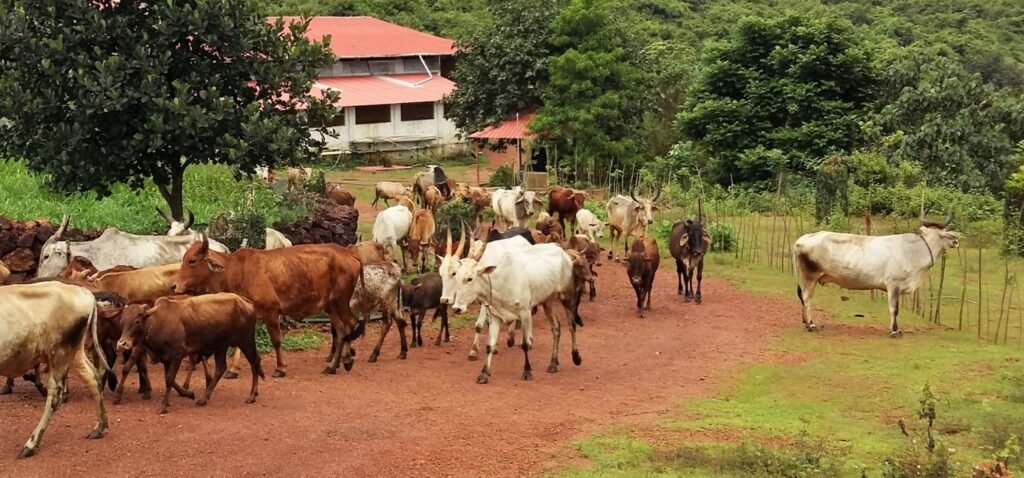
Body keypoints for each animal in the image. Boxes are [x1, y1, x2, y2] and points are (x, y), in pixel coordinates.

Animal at [0, 281, 110, 458]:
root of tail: (83, 291)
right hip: (75, 352)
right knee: (93, 377)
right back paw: (99, 427)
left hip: (60, 353)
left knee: (54, 397)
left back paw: (31, 444)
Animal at [116, 293, 264, 414]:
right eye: (122, 322)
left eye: (137, 321)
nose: (122, 344)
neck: (159, 323)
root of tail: (246, 301)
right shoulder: (166, 358)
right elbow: (170, 380)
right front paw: (187, 393)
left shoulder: (177, 355)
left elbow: (169, 379)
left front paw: (164, 406)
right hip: (221, 347)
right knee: (220, 369)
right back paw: (204, 398)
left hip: (246, 341)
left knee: (255, 362)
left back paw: (252, 396)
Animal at [172, 235, 365, 376]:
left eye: (192, 260)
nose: (174, 286)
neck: (234, 272)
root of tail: (349, 253)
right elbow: (240, 343)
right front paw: (233, 369)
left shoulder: (271, 311)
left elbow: (276, 341)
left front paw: (280, 368)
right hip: (330, 305)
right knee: (341, 329)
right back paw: (335, 364)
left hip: (340, 301)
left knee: (349, 324)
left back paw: (343, 361)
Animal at [448, 241, 583, 384]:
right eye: (455, 276)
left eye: (470, 278)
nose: (456, 308)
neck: (501, 282)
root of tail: (562, 252)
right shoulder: (495, 316)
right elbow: (490, 346)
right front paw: (484, 374)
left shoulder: (525, 312)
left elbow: (525, 344)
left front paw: (527, 371)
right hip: (548, 302)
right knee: (556, 328)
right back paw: (553, 363)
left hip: (566, 296)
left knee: (571, 326)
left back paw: (576, 357)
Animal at [793, 211, 961, 337]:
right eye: (943, 234)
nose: (956, 241)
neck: (916, 251)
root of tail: (803, 239)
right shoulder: (893, 284)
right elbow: (894, 308)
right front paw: (894, 331)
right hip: (810, 276)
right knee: (806, 298)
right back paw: (811, 325)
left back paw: (806, 322)